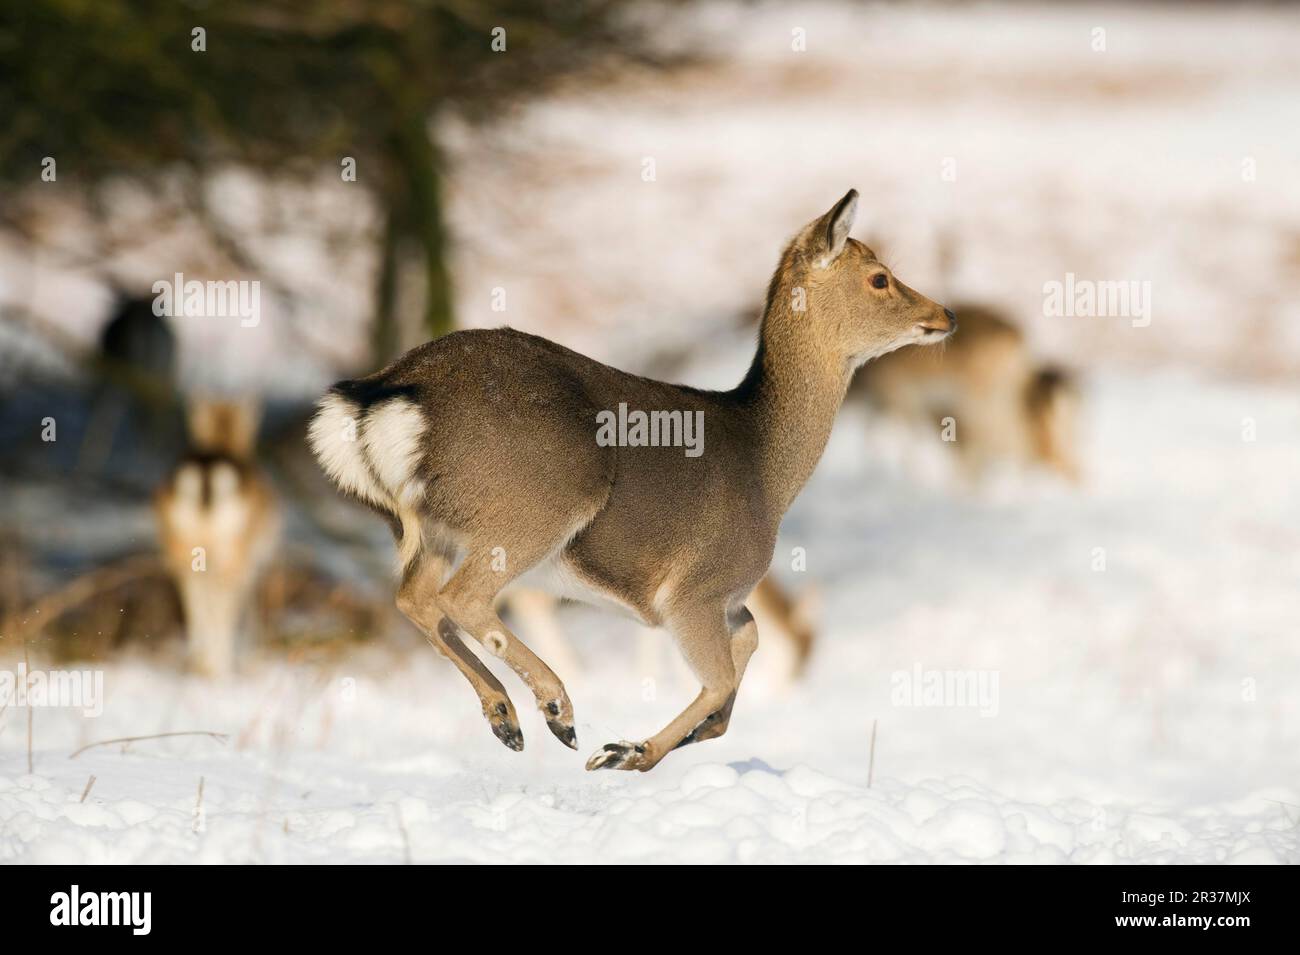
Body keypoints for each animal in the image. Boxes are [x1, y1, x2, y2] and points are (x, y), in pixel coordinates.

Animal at [308, 190, 955, 771]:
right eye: (879, 278)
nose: (944, 315)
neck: (768, 471)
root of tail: (390, 389)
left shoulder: (727, 599)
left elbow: (747, 646)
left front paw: (682, 737)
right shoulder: (697, 588)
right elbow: (721, 677)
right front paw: (629, 751)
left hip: (427, 530)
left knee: (413, 599)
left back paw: (506, 718)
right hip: (533, 505)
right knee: (460, 598)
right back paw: (558, 709)